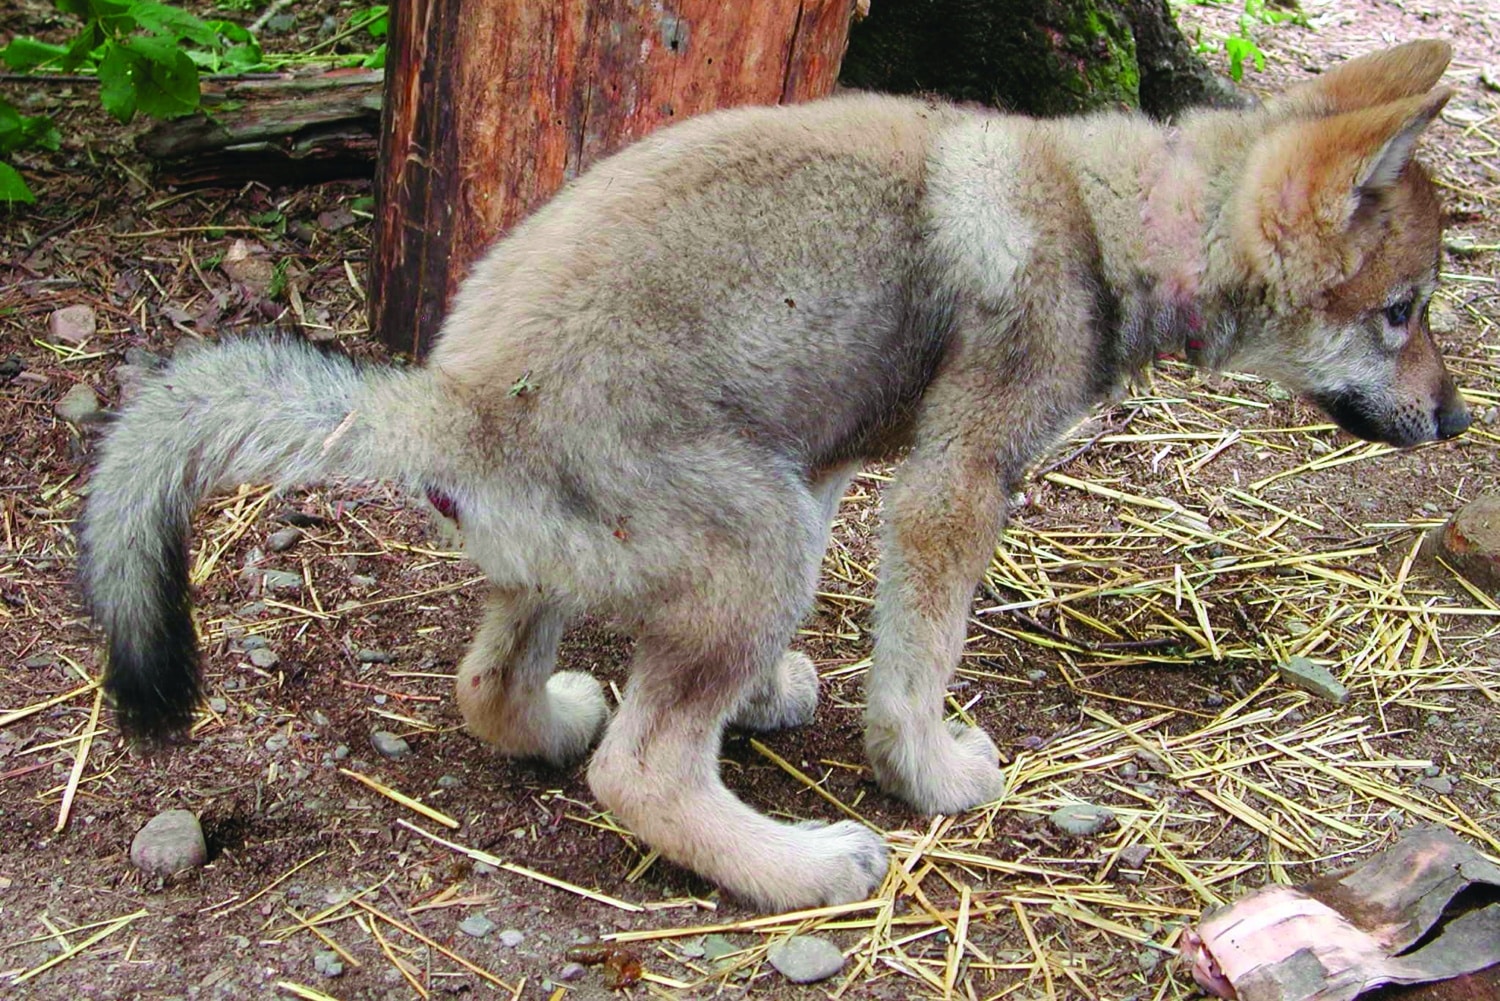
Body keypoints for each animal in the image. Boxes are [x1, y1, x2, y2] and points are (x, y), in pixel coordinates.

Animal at [80, 40, 1468, 911]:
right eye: (1403, 311)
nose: (1457, 418)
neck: (1110, 214)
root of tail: (448, 404)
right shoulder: (953, 483)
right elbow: (918, 663)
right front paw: (928, 774)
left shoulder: (837, 458)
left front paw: (788, 704)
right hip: (763, 541)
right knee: (638, 770)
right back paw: (804, 864)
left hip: (681, 538)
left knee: (497, 688)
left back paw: (580, 716)